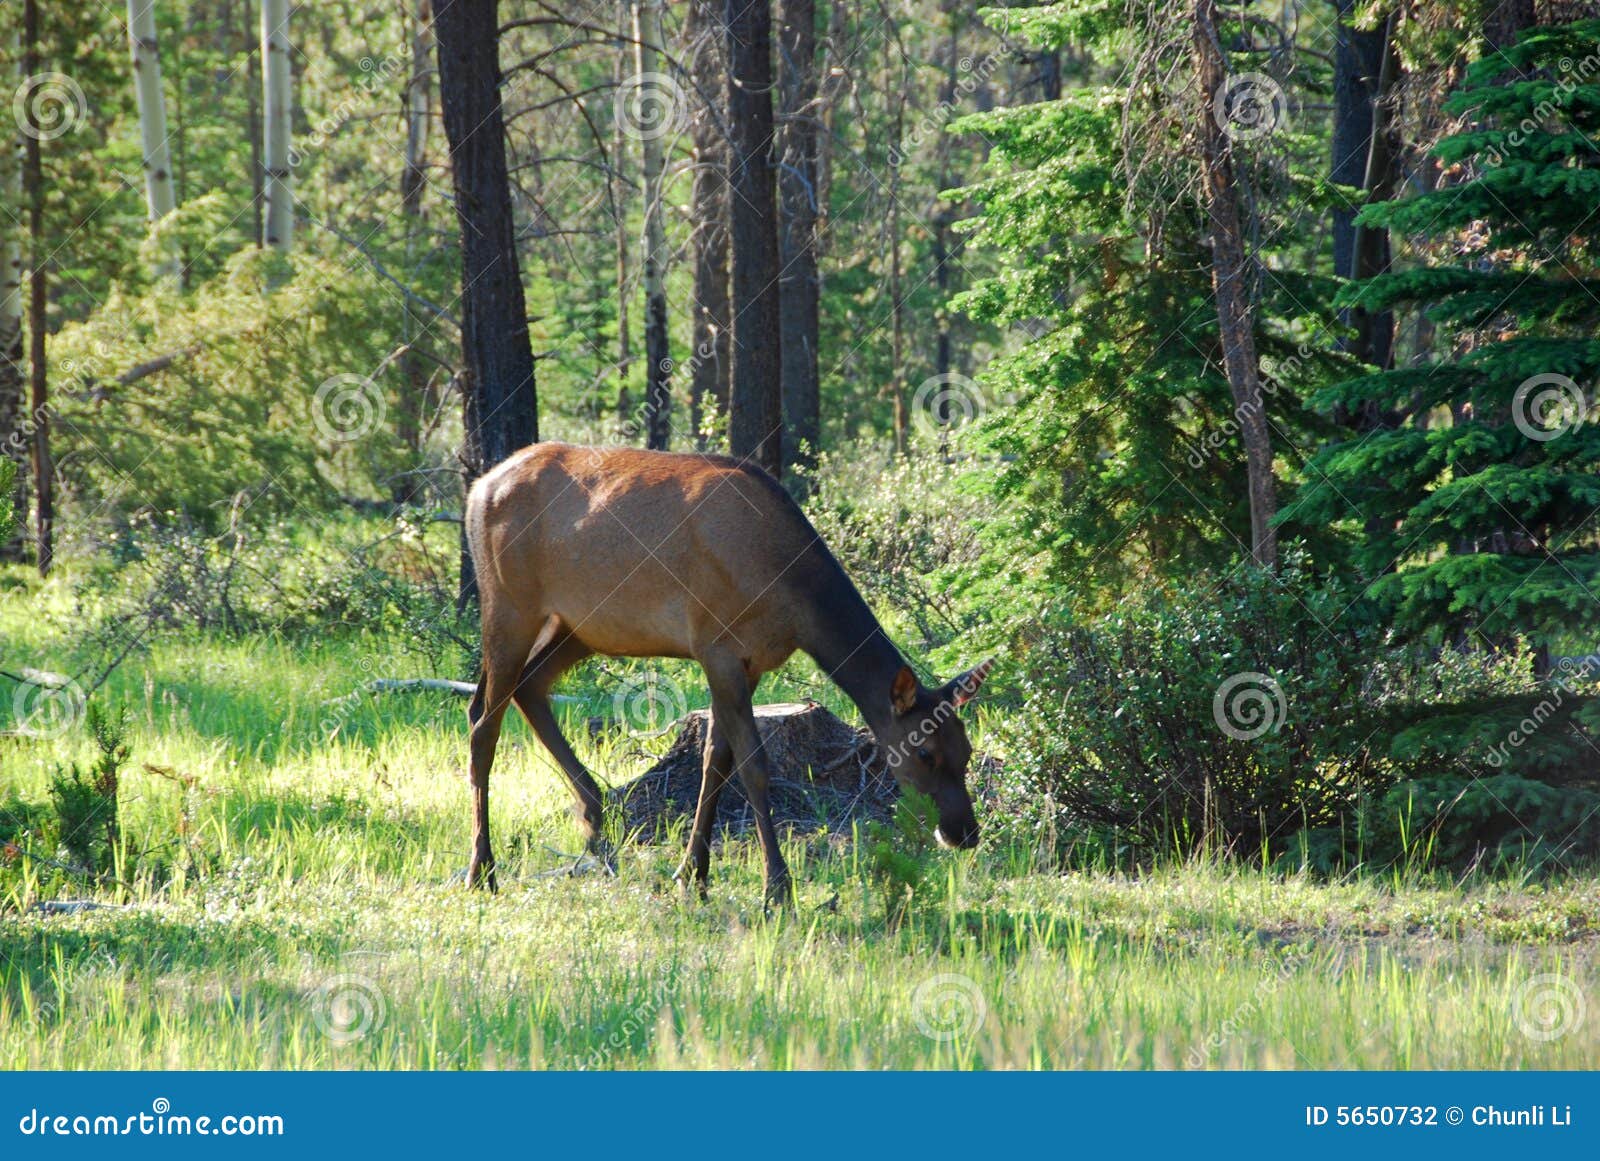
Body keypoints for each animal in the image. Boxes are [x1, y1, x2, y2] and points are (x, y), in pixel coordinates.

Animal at [463, 443, 994, 905]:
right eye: (923, 752)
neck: (792, 602)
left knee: (528, 687)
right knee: (482, 722)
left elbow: (714, 758)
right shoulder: (715, 647)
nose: (964, 832)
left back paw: (595, 814)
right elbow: (752, 765)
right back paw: (482, 869)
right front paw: (777, 888)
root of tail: (476, 489)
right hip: (510, 604)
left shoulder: (749, 662)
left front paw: (693, 874)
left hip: (581, 625)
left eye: (965, 749)